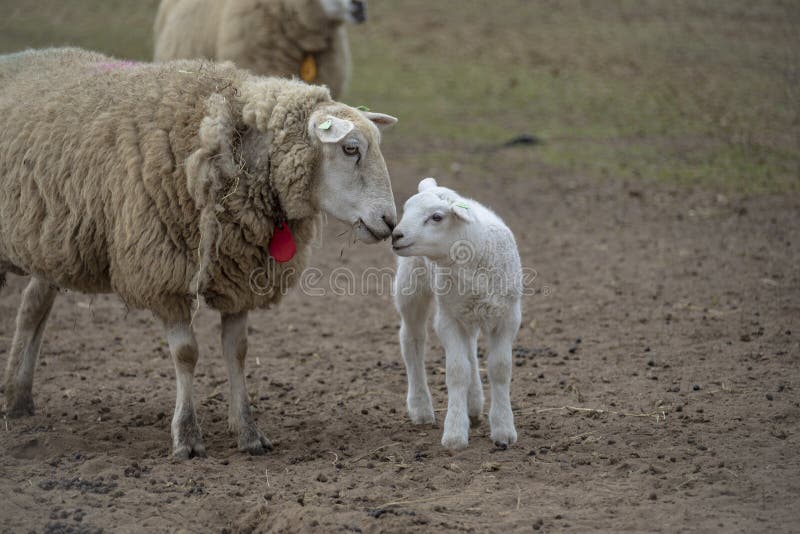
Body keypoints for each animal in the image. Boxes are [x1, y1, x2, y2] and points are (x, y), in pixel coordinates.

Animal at [0, 47, 398, 459]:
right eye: (350, 149)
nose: (390, 221)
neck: (233, 150)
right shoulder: (163, 274)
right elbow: (187, 353)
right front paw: (187, 436)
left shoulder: (239, 273)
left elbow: (237, 350)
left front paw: (248, 431)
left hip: (50, 243)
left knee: (32, 308)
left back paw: (18, 397)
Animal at [391, 178, 521, 450]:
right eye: (405, 209)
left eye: (437, 217)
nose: (395, 235)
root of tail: (434, 185)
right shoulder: (448, 321)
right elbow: (457, 372)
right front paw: (454, 434)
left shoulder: (508, 318)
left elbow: (500, 369)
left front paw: (504, 429)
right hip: (411, 285)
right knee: (412, 340)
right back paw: (420, 407)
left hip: (465, 308)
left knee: (470, 347)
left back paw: (473, 403)